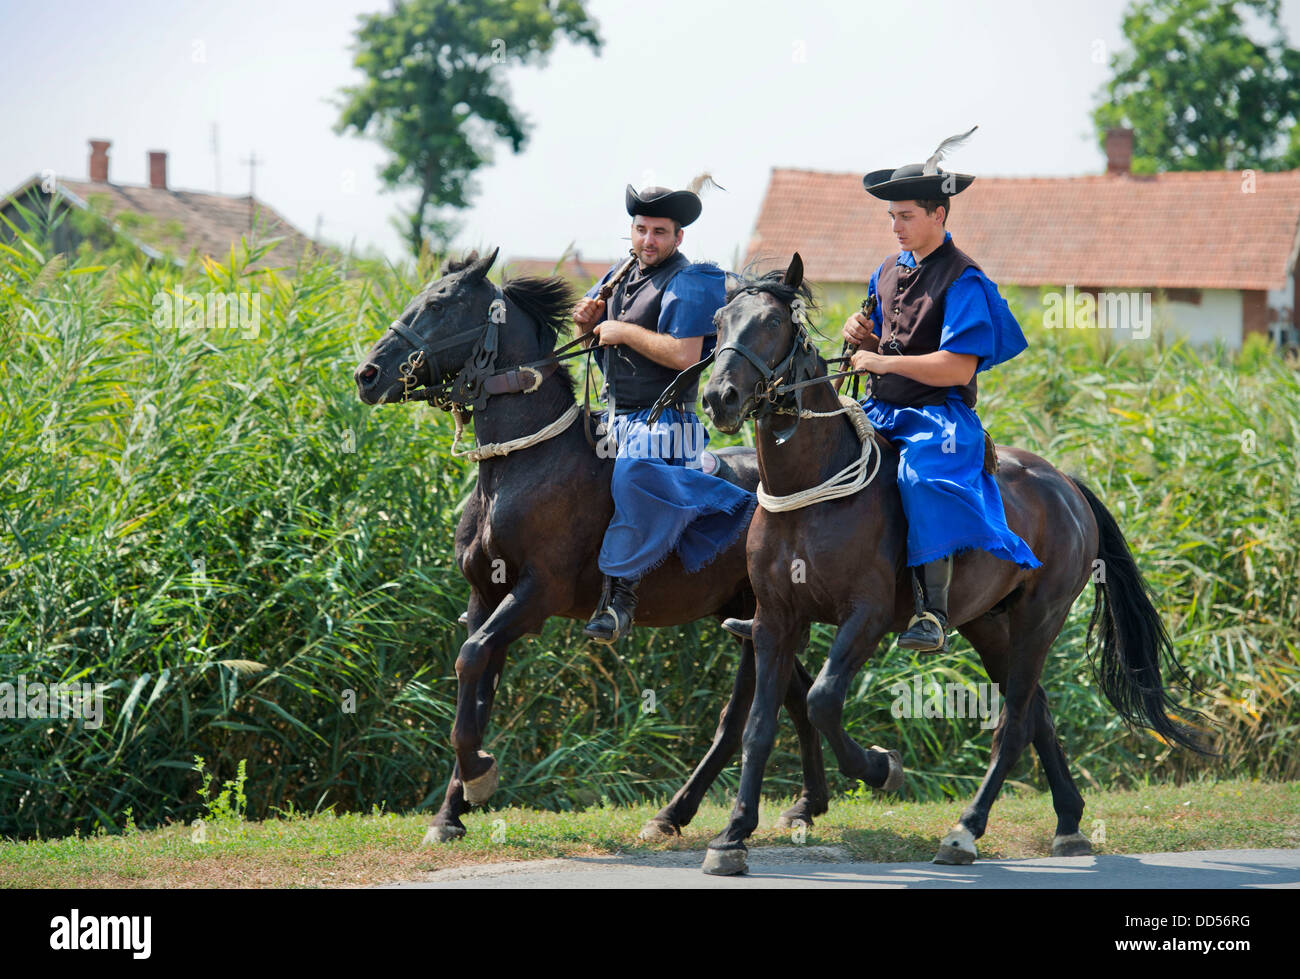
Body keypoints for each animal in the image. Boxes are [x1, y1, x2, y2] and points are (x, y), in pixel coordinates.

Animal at [353, 248, 860, 842]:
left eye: (439, 304)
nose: (366, 374)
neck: (520, 465)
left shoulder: (536, 596)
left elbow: (471, 658)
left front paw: (477, 776)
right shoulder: (485, 597)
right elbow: (475, 688)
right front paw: (452, 811)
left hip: (760, 617)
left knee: (743, 716)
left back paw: (684, 810)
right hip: (748, 615)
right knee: (795, 695)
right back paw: (801, 804)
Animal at [693, 254, 1210, 875]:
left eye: (771, 323)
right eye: (718, 322)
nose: (719, 397)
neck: (812, 490)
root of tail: (1065, 484)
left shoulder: (864, 618)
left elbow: (822, 702)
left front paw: (880, 767)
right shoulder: (774, 621)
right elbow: (758, 729)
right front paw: (732, 835)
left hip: (1040, 618)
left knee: (1015, 723)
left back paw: (966, 829)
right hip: (989, 624)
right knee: (1036, 713)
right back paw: (1069, 822)